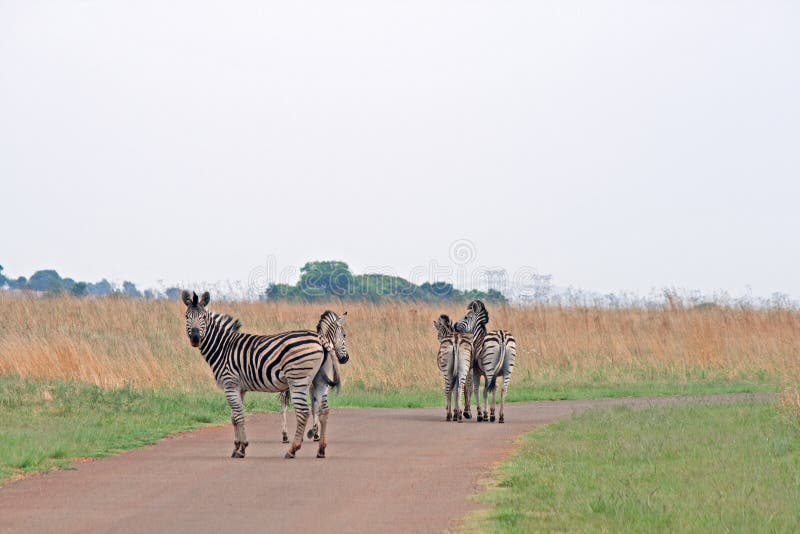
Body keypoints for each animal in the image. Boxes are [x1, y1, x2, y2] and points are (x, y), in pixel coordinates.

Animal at [181, 290, 348, 459]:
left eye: (203, 317)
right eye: (187, 316)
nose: (195, 338)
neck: (223, 347)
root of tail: (321, 339)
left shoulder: (230, 384)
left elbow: (239, 416)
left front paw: (242, 449)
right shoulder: (239, 388)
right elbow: (234, 417)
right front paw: (236, 447)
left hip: (298, 380)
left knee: (303, 412)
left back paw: (292, 450)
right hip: (319, 381)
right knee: (324, 411)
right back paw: (321, 450)